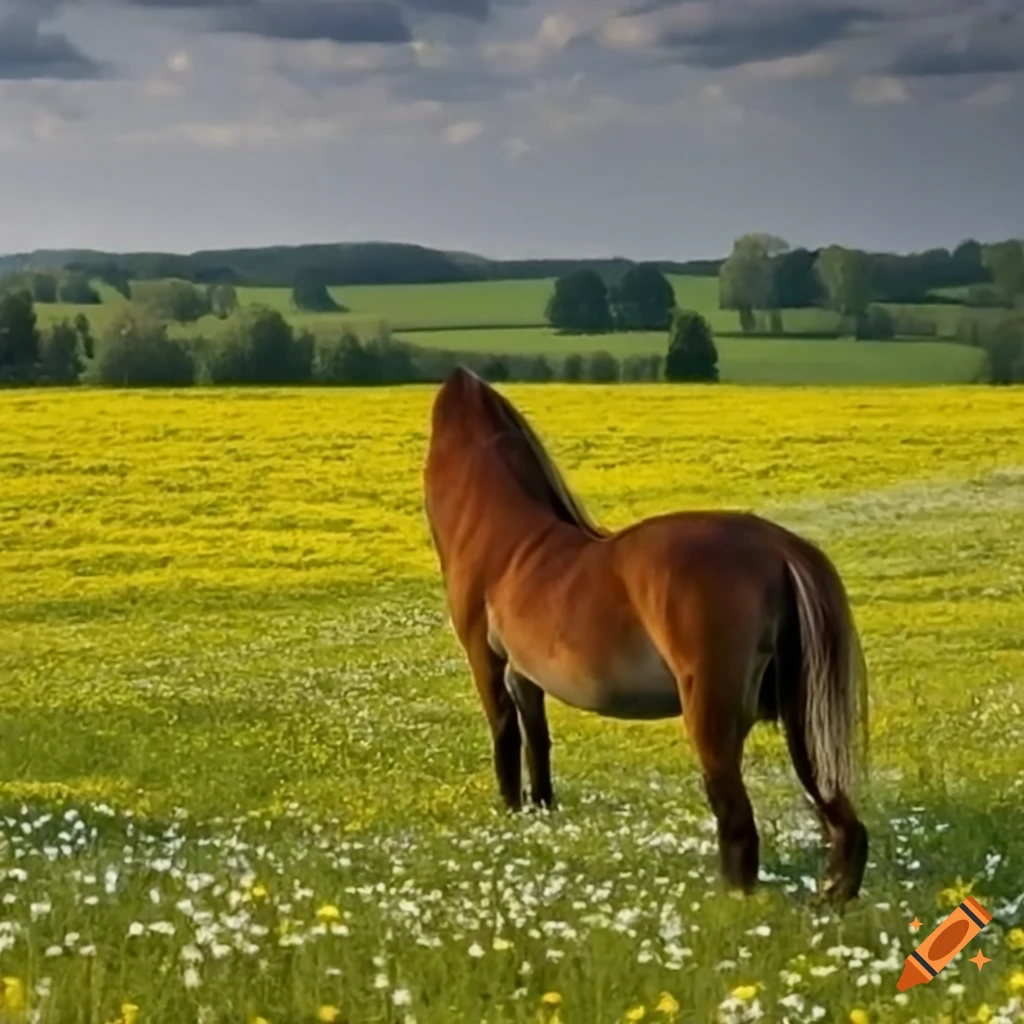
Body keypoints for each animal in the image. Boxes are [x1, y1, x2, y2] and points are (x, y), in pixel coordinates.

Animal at [423, 366, 869, 903]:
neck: (507, 544)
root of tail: (780, 548)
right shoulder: (524, 677)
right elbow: (538, 743)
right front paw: (540, 813)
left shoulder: (485, 661)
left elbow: (506, 739)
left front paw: (511, 816)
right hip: (803, 716)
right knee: (843, 821)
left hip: (713, 714)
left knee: (738, 823)